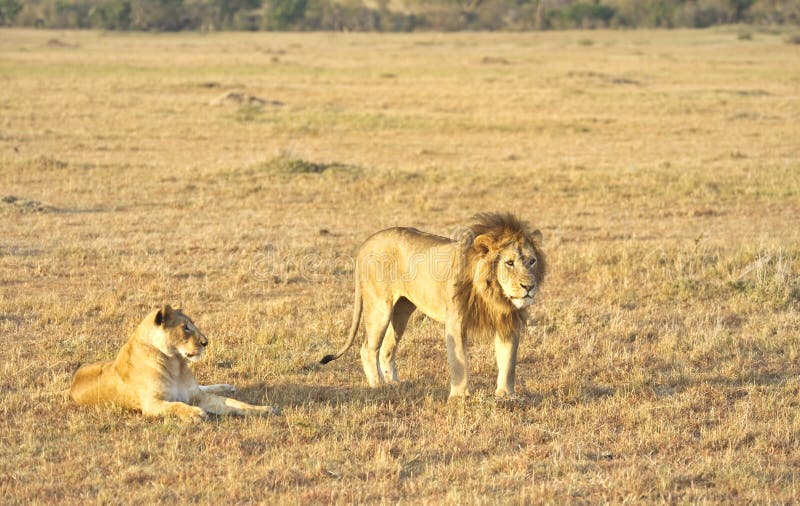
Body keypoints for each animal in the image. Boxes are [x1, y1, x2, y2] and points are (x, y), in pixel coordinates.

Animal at [68, 305, 277, 422]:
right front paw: (195, 414)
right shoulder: (151, 404)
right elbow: (175, 405)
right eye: (185, 328)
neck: (175, 363)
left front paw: (265, 410)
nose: (206, 342)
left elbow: (235, 403)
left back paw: (228, 386)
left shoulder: (198, 395)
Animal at [320, 212, 545, 398]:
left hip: (402, 311)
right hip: (379, 308)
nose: (529, 286)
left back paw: (394, 383)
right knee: (368, 348)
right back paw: (378, 385)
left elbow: (508, 361)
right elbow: (459, 361)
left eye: (532, 261)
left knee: (386, 348)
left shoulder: (508, 322)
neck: (493, 293)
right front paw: (460, 397)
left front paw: (506, 395)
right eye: (509, 263)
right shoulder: (455, 322)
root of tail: (366, 243)